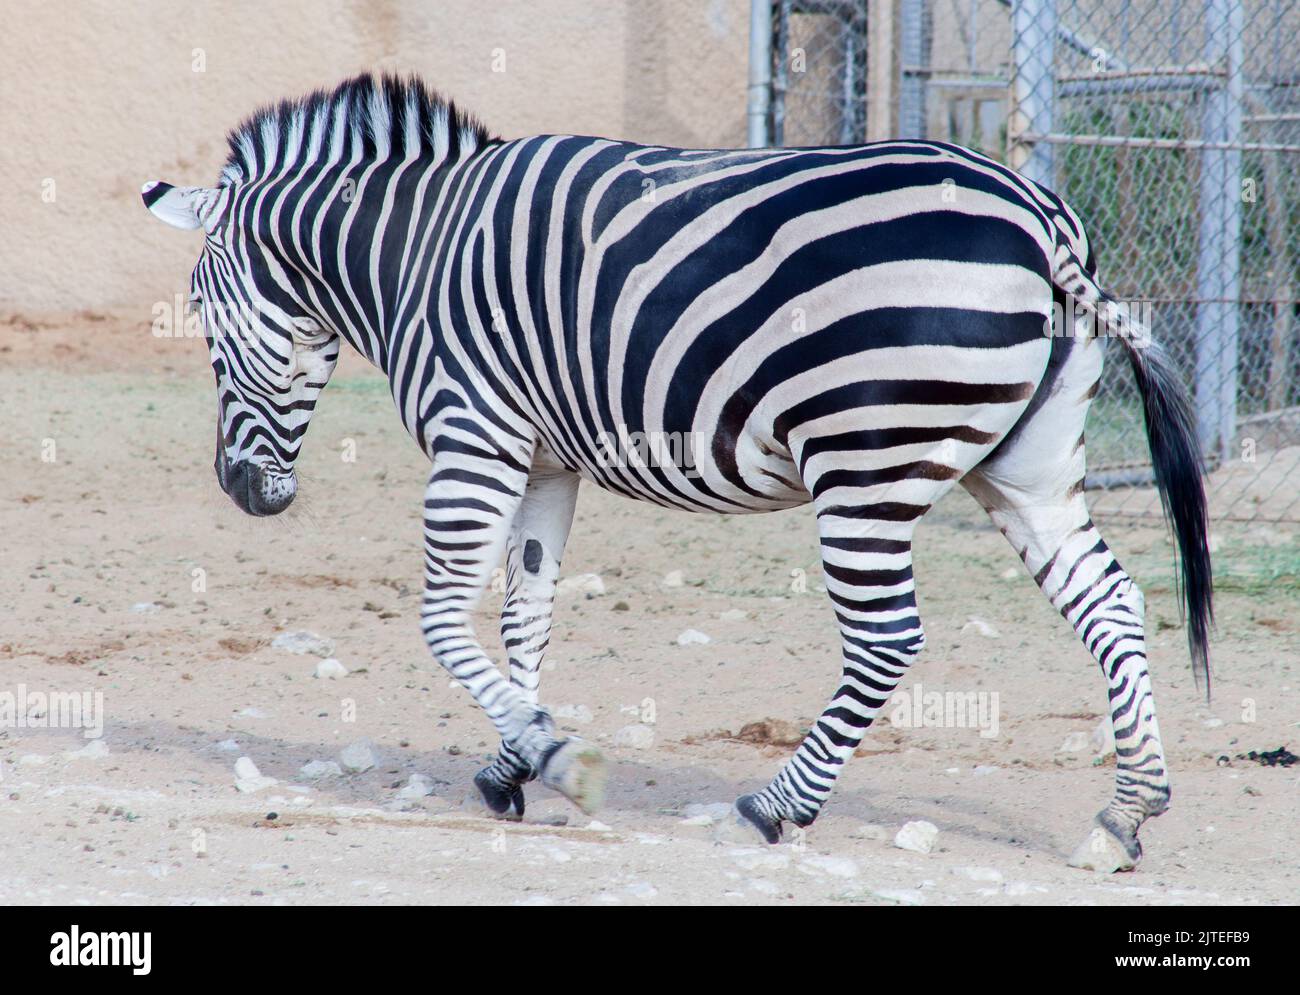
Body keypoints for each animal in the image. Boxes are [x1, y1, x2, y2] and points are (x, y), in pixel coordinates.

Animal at [142, 74, 1211, 871]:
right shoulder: (545, 456)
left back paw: (777, 806)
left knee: (887, 638)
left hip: (863, 464)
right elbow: (527, 612)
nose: (244, 492)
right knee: (1110, 601)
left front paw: (560, 761)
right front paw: (512, 763)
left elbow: (443, 616)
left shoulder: (475, 429)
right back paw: (1126, 814)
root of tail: (1042, 222)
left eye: (199, 315)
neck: (414, 254)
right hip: (1023, 467)